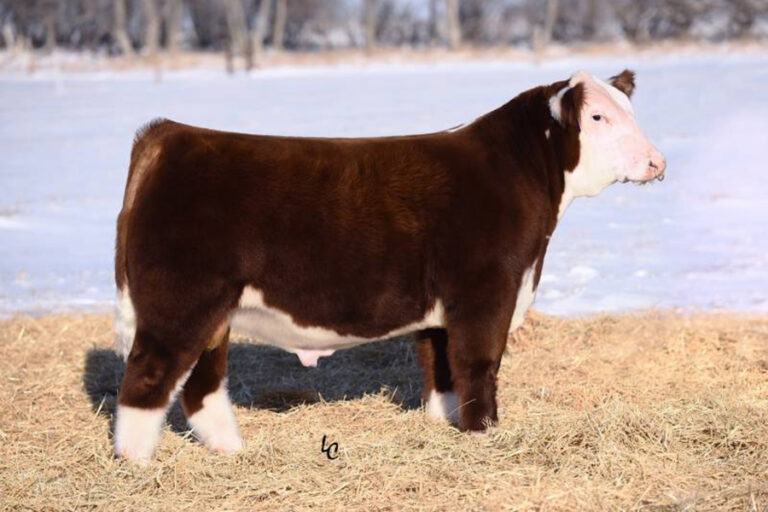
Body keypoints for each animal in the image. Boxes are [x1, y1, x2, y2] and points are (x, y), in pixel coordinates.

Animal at [112, 70, 666, 462]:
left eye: (629, 110)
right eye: (597, 118)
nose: (656, 162)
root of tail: (170, 134)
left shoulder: (443, 309)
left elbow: (441, 368)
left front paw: (445, 426)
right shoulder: (485, 291)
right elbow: (478, 364)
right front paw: (484, 434)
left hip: (212, 313)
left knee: (202, 384)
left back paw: (231, 450)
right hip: (180, 303)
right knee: (147, 378)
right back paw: (137, 463)